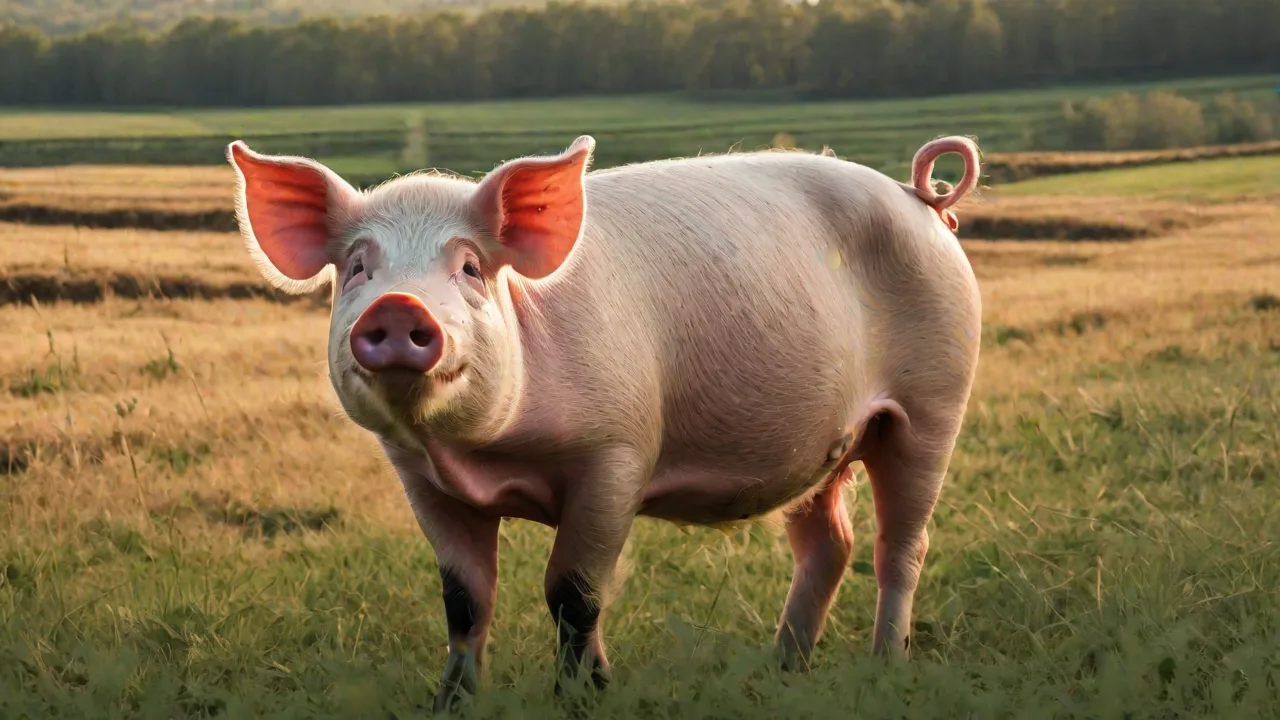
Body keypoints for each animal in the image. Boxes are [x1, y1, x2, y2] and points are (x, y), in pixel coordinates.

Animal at [226, 133, 983, 711]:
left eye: (470, 266)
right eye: (358, 267)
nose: (398, 307)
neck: (486, 456)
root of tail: (921, 198)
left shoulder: (617, 454)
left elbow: (573, 591)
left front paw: (584, 697)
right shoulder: (421, 477)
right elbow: (465, 598)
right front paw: (448, 704)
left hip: (933, 402)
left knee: (900, 544)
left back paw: (886, 667)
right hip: (821, 447)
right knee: (829, 543)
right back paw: (782, 670)